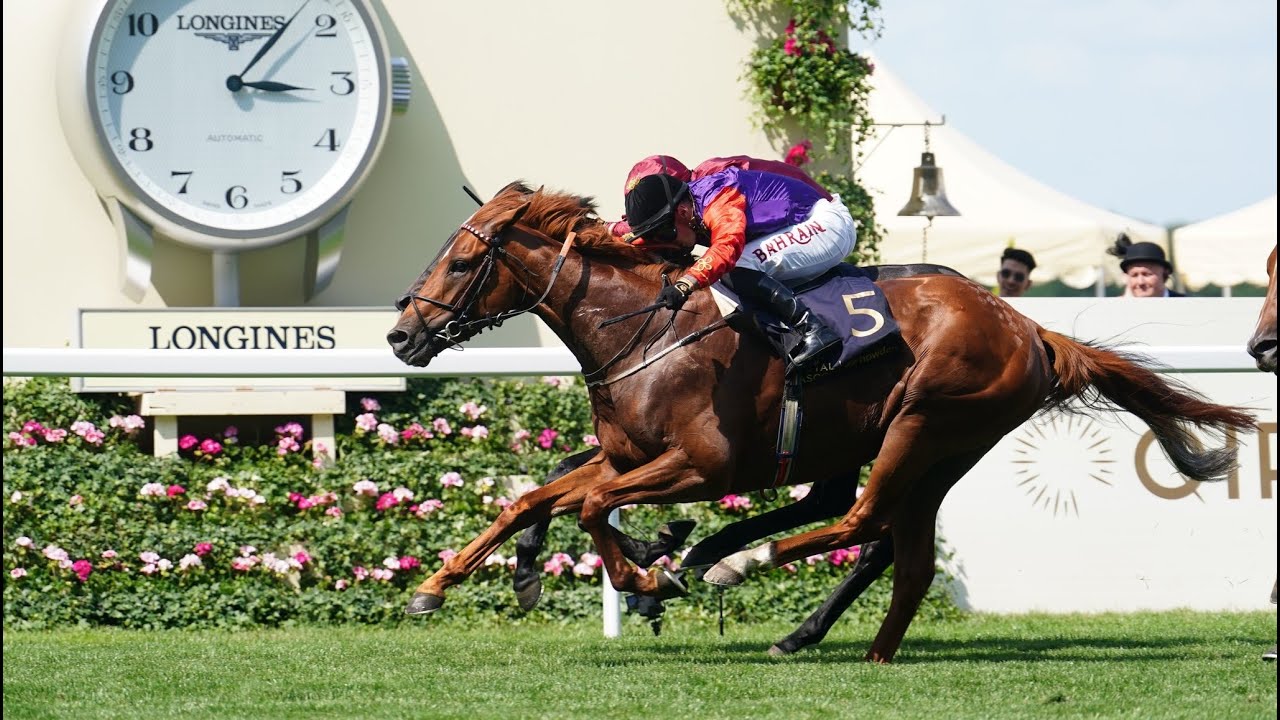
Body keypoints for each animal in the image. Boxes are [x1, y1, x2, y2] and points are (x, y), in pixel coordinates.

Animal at [387, 182, 1255, 662]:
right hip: (913, 446)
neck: (646, 328)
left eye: (461, 264)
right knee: (892, 548)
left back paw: (737, 565)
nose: (400, 336)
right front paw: (437, 584)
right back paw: (844, 641)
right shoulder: (628, 455)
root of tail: (1027, 326)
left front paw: (643, 574)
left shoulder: (702, 465)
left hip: (927, 425)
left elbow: (590, 505)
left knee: (867, 524)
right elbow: (534, 498)